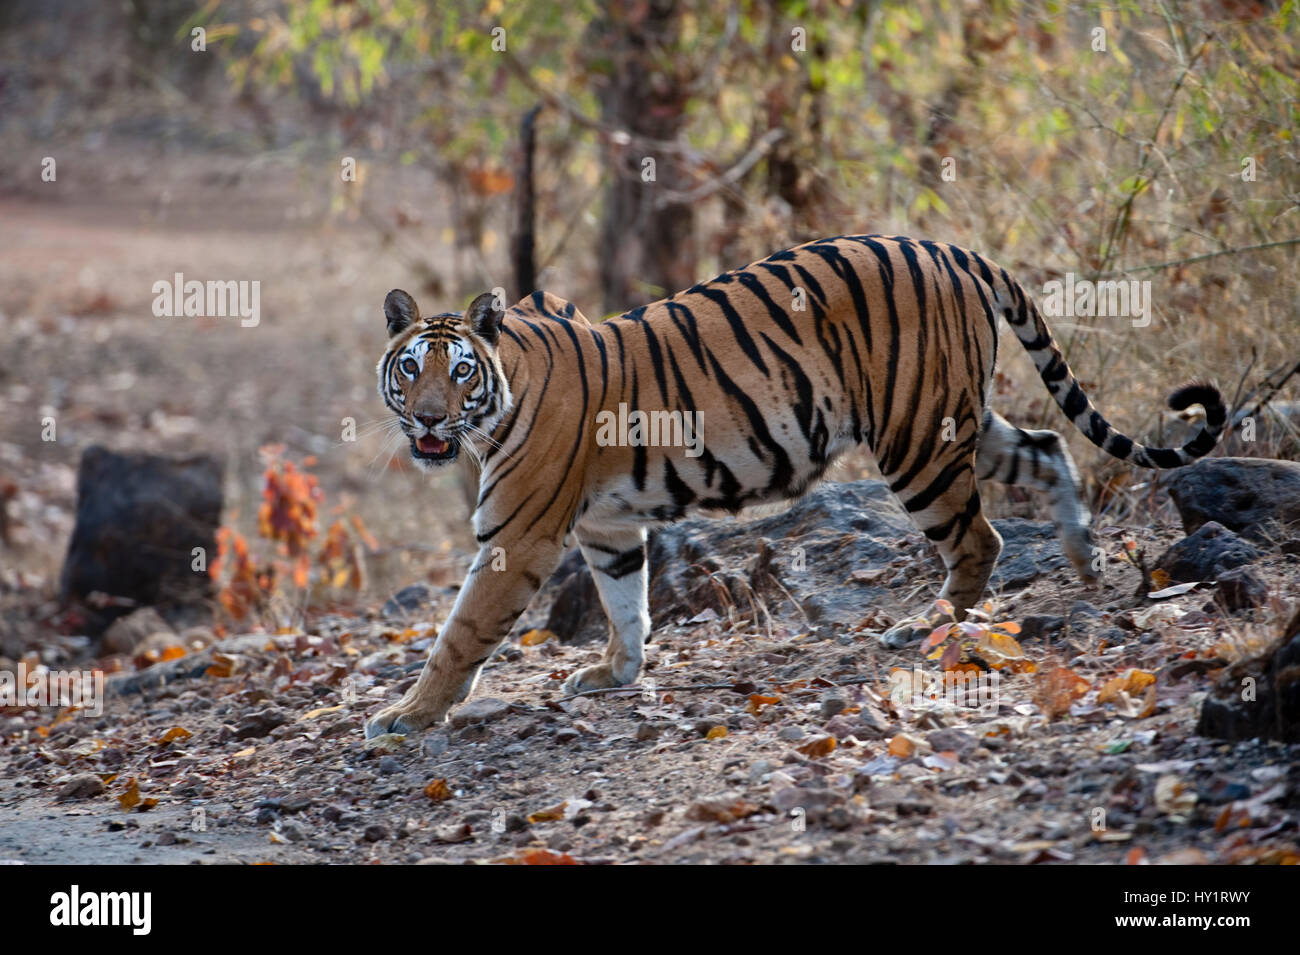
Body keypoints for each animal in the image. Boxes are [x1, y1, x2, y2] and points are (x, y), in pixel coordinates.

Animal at [365, 234, 1225, 738]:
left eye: (459, 371)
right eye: (410, 369)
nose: (430, 418)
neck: (501, 393)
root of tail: (956, 250)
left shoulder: (516, 535)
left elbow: (459, 634)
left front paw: (407, 714)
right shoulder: (608, 527)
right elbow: (625, 600)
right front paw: (616, 671)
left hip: (914, 436)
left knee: (978, 536)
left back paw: (927, 624)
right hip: (958, 419)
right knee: (1046, 449)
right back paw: (1083, 560)